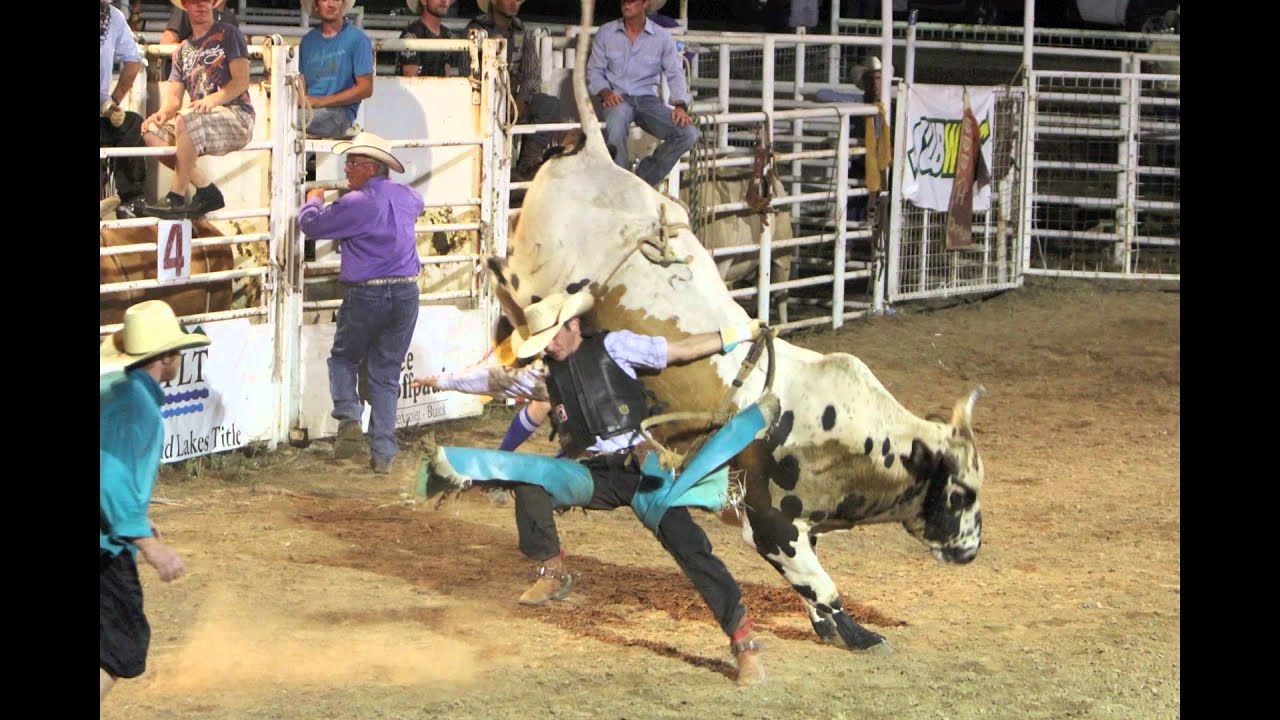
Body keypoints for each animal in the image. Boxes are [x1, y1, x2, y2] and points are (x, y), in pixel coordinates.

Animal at [480, 0, 988, 654]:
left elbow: (813, 584)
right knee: (514, 294)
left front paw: (833, 627)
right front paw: (855, 632)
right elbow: (819, 580)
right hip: (544, 277)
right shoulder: (770, 521)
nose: (973, 549)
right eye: (962, 492)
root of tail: (594, 153)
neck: (846, 428)